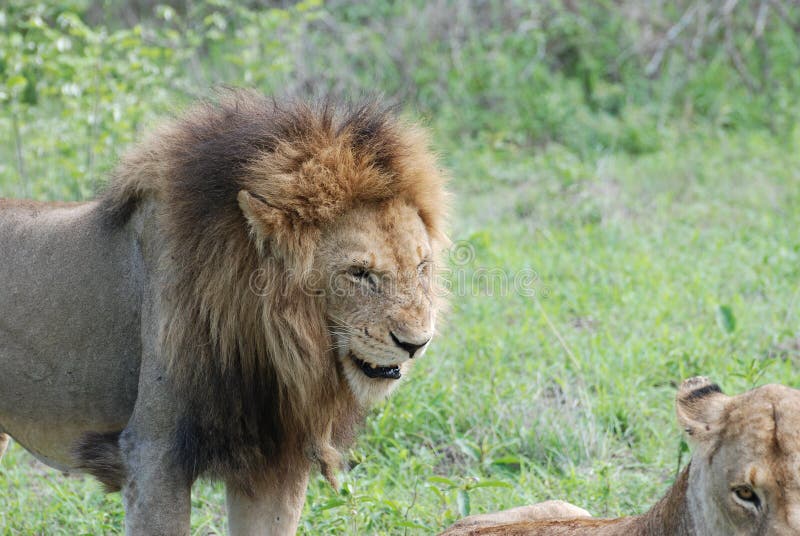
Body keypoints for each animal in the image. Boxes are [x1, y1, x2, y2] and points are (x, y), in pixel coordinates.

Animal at [0, 89, 448, 535]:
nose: (416, 344)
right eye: (358, 273)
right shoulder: (152, 454)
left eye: (422, 266)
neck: (264, 344)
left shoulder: (276, 458)